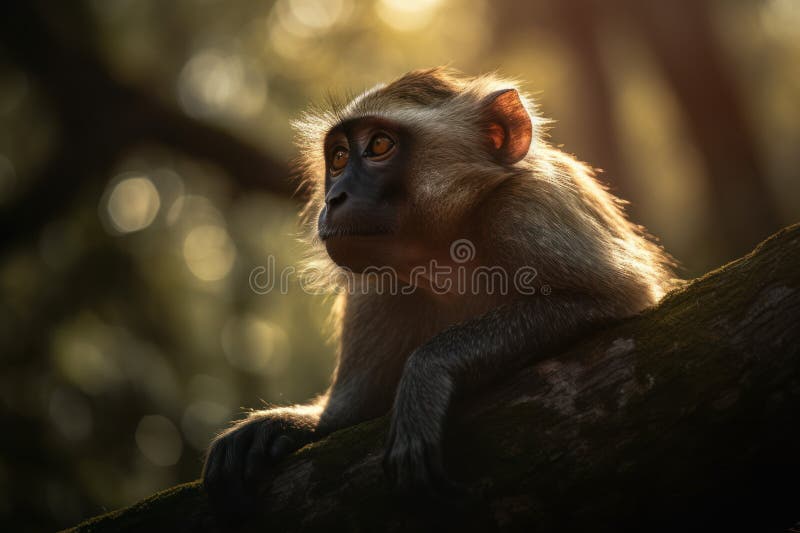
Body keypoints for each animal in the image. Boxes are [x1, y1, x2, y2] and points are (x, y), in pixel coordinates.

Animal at [202, 67, 675, 515]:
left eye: (378, 146)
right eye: (337, 157)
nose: (335, 197)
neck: (446, 252)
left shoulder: (527, 209)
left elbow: (615, 298)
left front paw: (427, 371)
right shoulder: (381, 285)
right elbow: (350, 413)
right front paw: (297, 423)